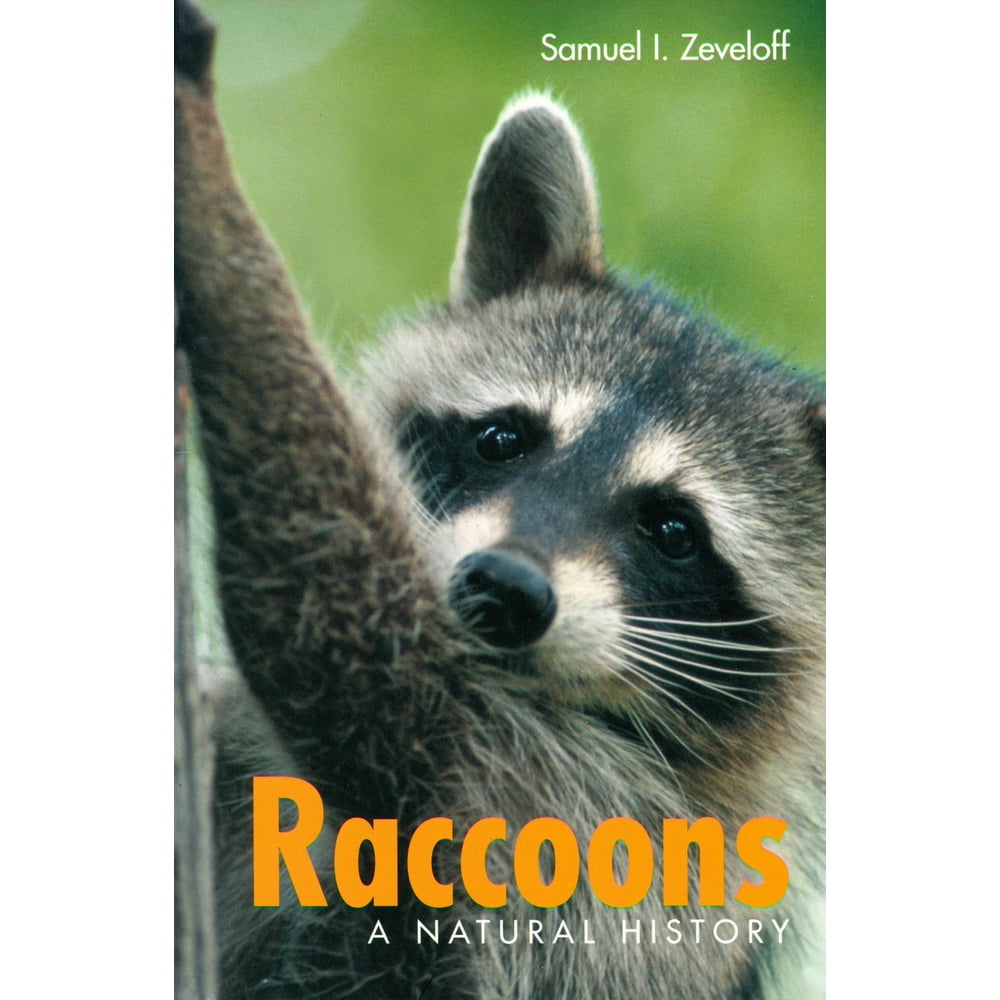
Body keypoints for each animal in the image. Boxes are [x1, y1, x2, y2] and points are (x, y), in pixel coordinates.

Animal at [174, 3, 824, 999]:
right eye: (502, 440)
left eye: (674, 530)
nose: (506, 589)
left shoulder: (554, 811)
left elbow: (339, 629)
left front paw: (214, 202)